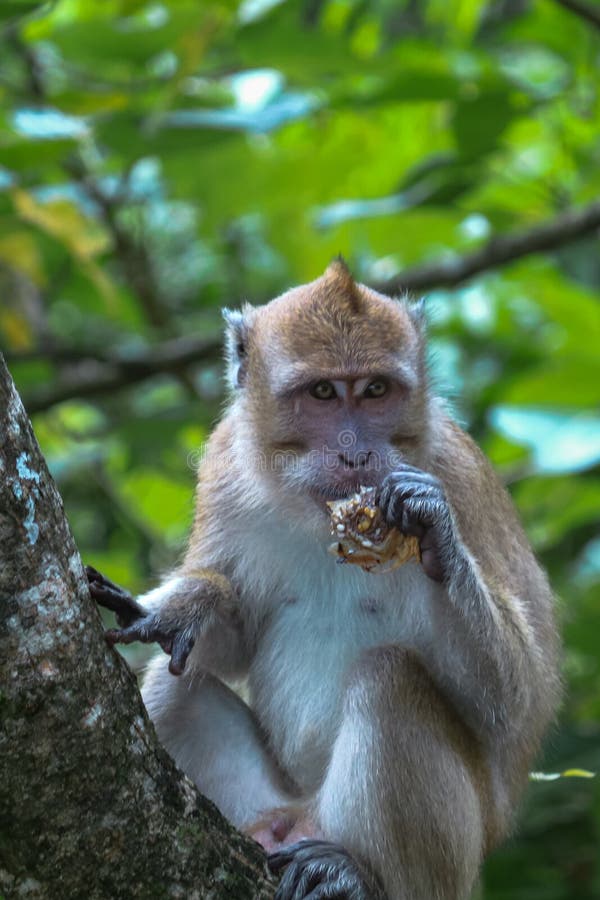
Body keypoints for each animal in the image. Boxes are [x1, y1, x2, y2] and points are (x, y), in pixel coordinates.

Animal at [88, 259, 560, 900]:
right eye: (322, 393)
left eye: (375, 391)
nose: (355, 454)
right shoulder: (225, 466)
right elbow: (230, 641)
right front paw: (181, 608)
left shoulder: (462, 476)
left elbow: (518, 704)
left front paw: (432, 526)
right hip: (274, 805)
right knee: (172, 685)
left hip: (446, 865)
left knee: (389, 679)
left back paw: (355, 874)